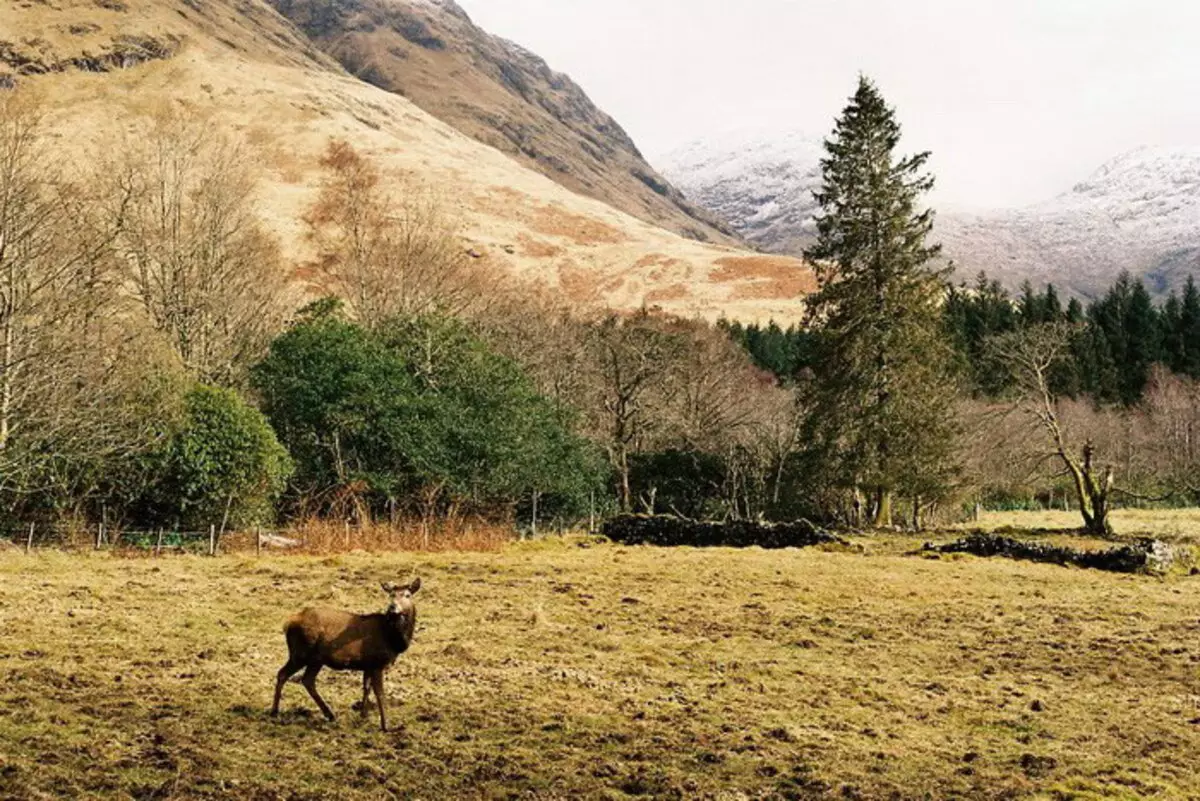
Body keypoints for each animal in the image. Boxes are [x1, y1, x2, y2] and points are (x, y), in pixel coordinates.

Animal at [272, 575, 422, 733]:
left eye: (408, 595)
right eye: (391, 595)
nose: (392, 607)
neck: (393, 640)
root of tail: (288, 623)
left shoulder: (368, 664)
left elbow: (366, 688)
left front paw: (363, 715)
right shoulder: (378, 662)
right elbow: (380, 694)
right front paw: (387, 726)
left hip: (316, 659)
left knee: (307, 680)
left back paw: (330, 714)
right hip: (300, 653)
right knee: (283, 673)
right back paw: (274, 712)